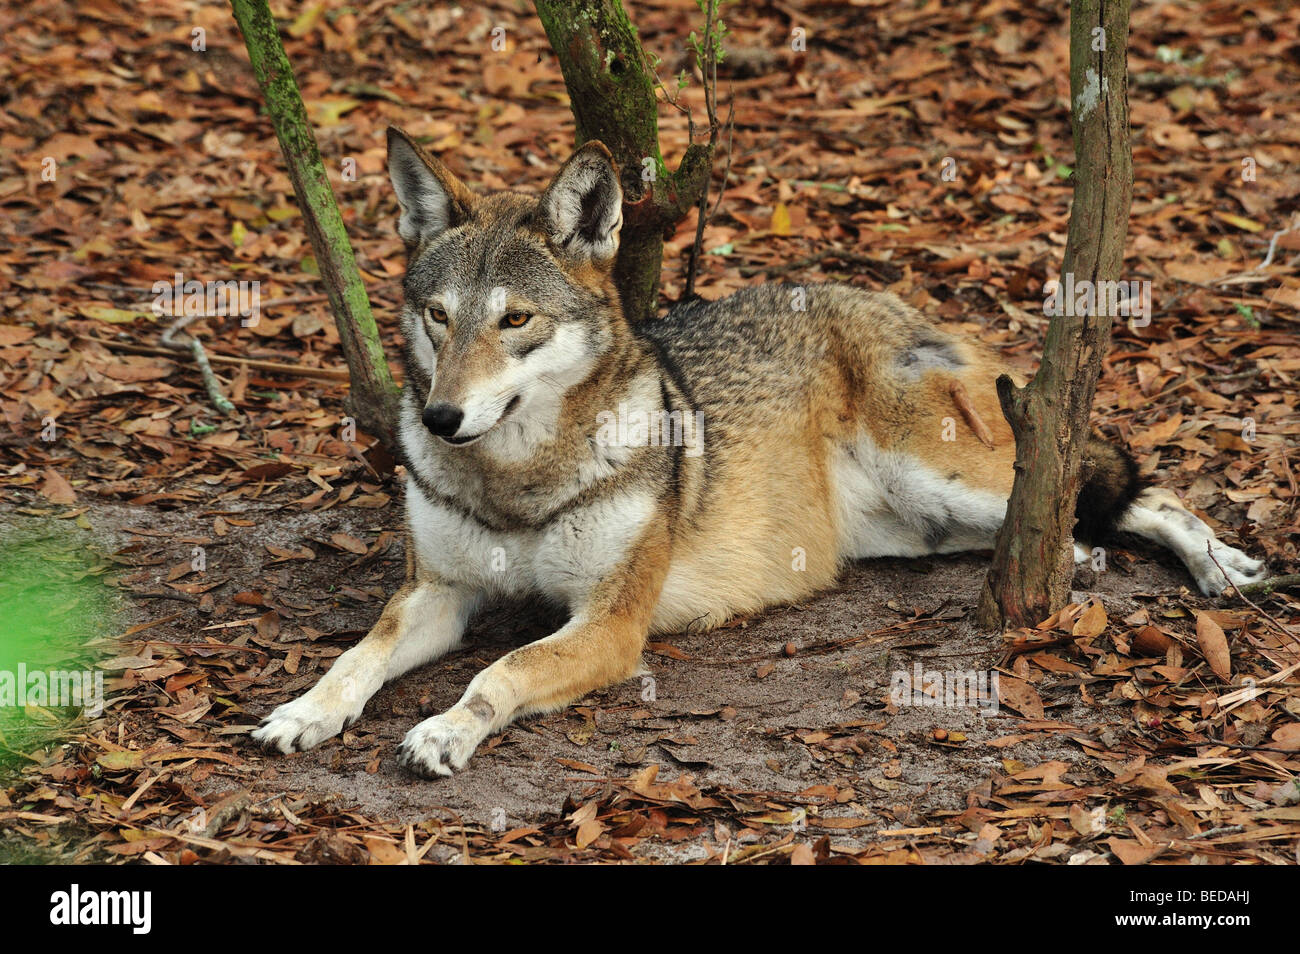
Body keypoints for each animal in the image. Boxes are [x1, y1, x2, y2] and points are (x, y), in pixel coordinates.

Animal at [251, 129, 1268, 775]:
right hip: (923, 526)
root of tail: (897, 301)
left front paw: (442, 732)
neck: (517, 478)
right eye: (438, 316)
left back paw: (1222, 569)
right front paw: (303, 712)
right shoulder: (437, 593)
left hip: (951, 479)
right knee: (1073, 519)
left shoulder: (610, 625)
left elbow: (498, 674)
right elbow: (354, 657)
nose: (442, 417)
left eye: (515, 321)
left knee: (1142, 495)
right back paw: (1094, 560)